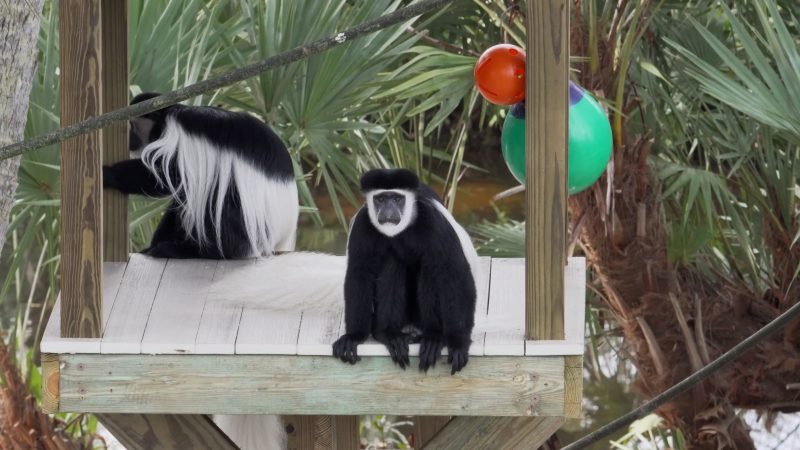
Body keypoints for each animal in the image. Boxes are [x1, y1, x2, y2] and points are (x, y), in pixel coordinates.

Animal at [102, 92, 298, 259]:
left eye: (132, 126)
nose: (130, 140)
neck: (168, 116)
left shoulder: (177, 136)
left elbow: (166, 177)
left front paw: (108, 174)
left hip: (251, 230)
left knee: (216, 201)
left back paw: (196, 251)